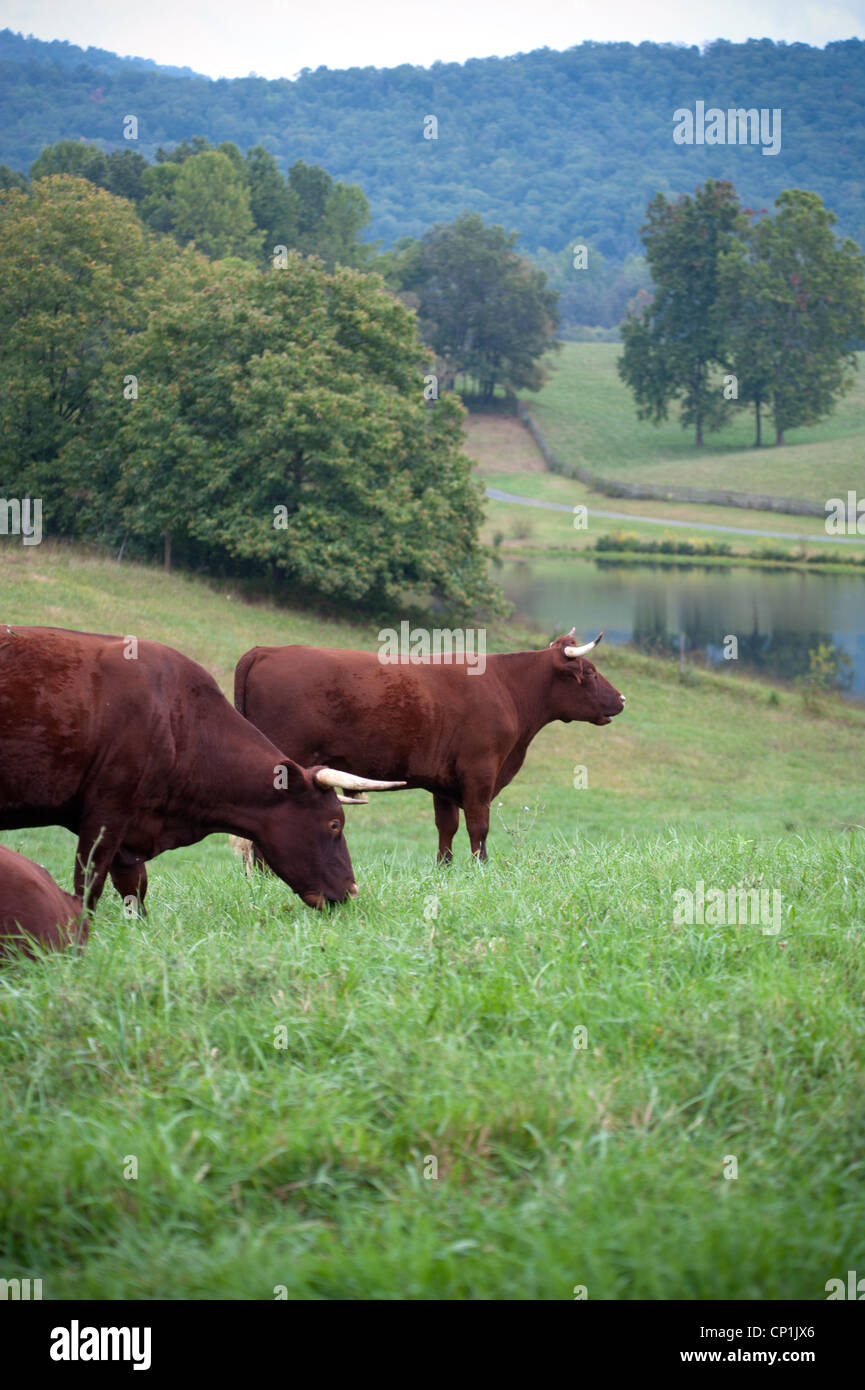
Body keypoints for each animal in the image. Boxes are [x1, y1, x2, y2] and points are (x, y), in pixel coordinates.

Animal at [0, 626, 403, 912]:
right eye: (335, 824)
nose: (352, 891)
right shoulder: (106, 814)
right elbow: (88, 887)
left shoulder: (129, 833)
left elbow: (134, 891)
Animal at [233, 629, 625, 863]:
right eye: (590, 672)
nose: (621, 699)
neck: (505, 687)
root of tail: (264, 651)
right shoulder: (480, 773)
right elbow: (478, 826)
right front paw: (482, 868)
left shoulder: (444, 781)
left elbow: (446, 827)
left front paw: (444, 869)